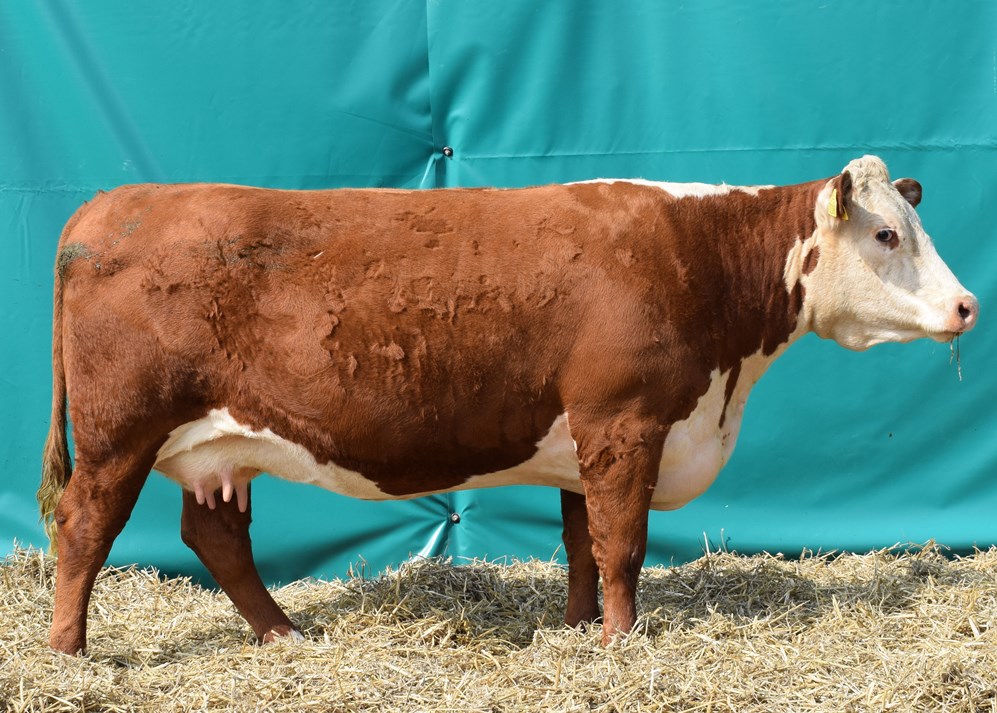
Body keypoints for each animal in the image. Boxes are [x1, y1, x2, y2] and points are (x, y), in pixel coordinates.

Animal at [39, 156, 977, 654]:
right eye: (885, 235)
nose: (967, 305)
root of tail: (110, 206)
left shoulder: (583, 441)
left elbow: (581, 544)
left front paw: (576, 629)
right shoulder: (623, 421)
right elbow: (623, 545)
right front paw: (620, 642)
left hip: (216, 445)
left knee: (216, 536)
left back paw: (284, 633)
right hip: (121, 428)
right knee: (86, 524)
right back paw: (70, 650)